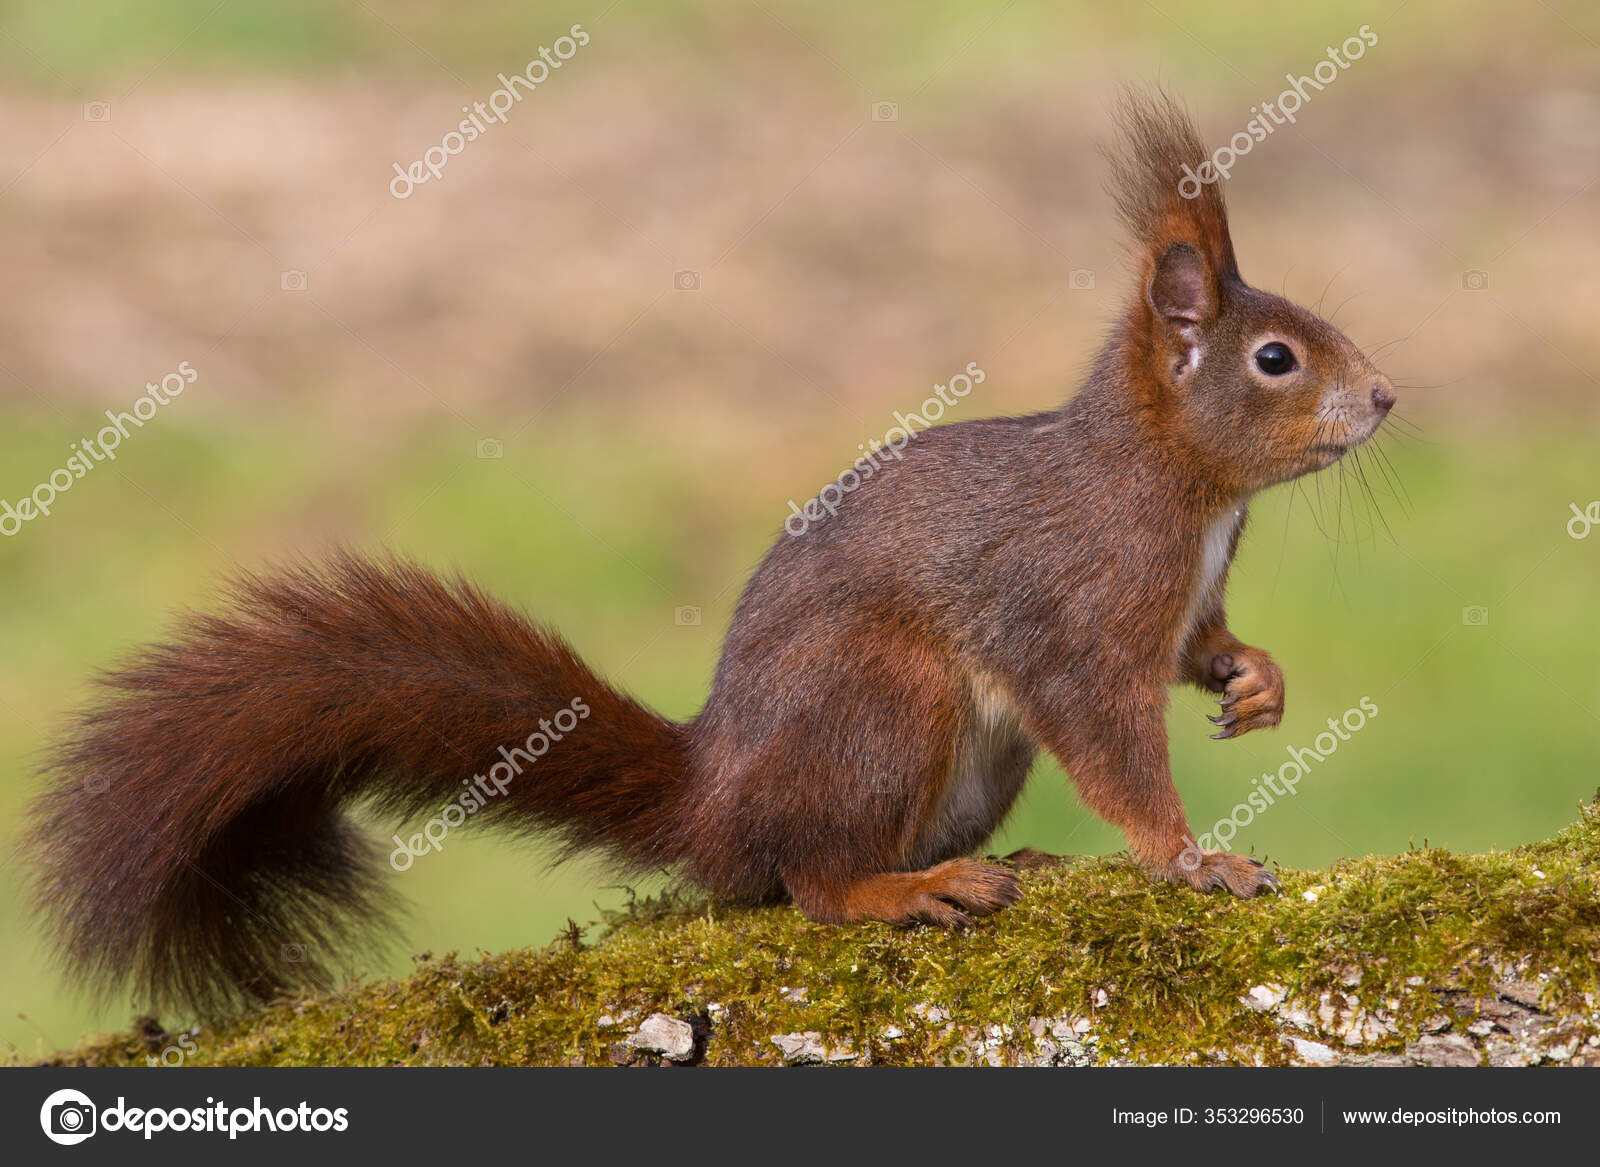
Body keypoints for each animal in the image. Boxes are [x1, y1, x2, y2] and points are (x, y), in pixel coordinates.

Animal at [25, 91, 1395, 1017]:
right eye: (1275, 358)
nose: (1385, 397)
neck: (1186, 491)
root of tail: (716, 797)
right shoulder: (1072, 613)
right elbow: (1110, 737)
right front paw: (1191, 858)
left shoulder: (1184, 602)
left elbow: (1203, 650)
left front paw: (1256, 685)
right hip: (883, 699)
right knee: (805, 879)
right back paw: (905, 890)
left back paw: (1002, 858)